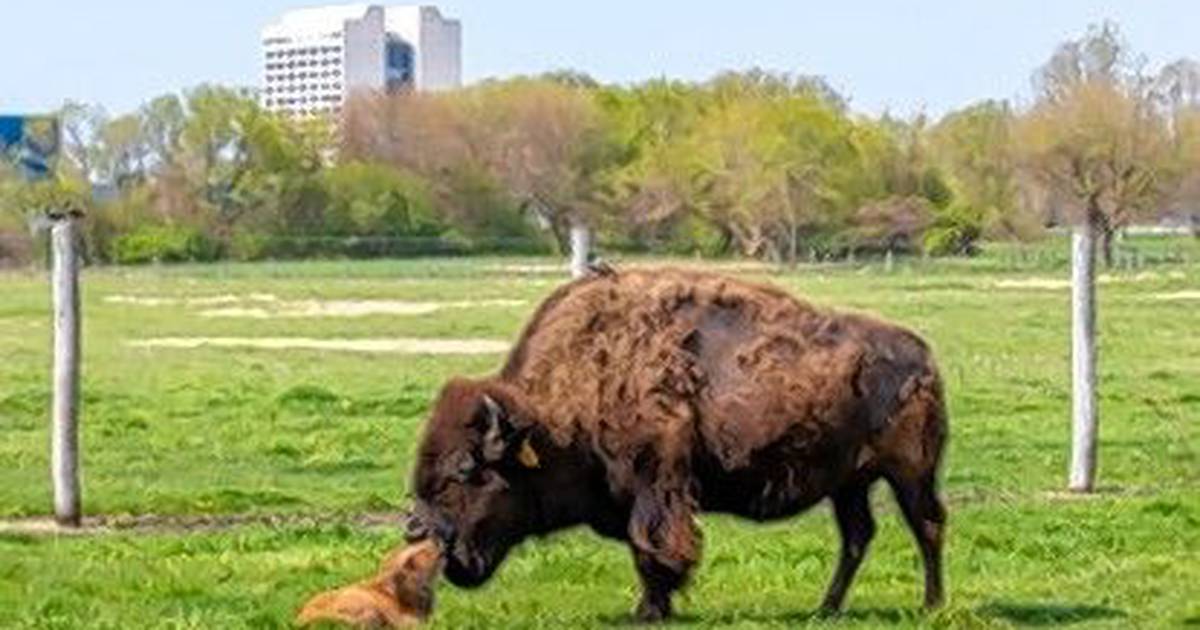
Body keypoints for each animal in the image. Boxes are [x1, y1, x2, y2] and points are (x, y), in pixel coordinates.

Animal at [407, 268, 948, 621]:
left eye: (464, 472)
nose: (418, 533)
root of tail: (923, 357)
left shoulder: (657, 485)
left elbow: (652, 546)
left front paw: (649, 610)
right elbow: (643, 549)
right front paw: (651, 606)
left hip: (911, 474)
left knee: (927, 526)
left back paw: (930, 604)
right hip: (848, 483)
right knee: (858, 535)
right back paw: (827, 608)